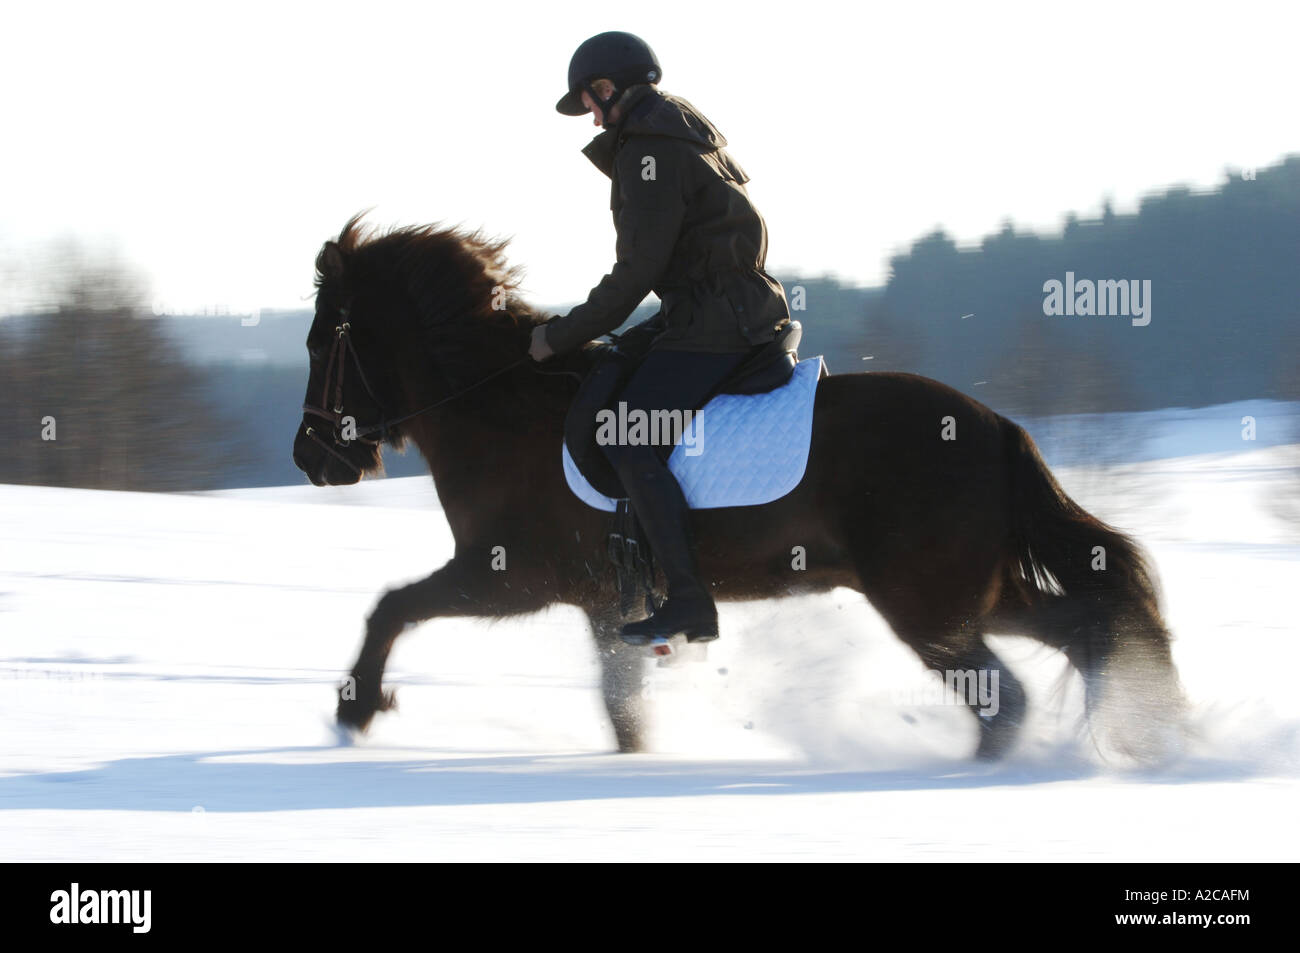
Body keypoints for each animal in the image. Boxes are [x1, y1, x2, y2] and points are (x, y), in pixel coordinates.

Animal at [291, 213, 1185, 762]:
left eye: (322, 340)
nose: (311, 458)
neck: (500, 409)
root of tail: (995, 427)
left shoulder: (507, 574)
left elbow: (392, 605)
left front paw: (355, 707)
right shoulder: (602, 607)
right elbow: (622, 709)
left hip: (929, 607)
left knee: (1013, 694)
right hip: (974, 596)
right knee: (1084, 630)